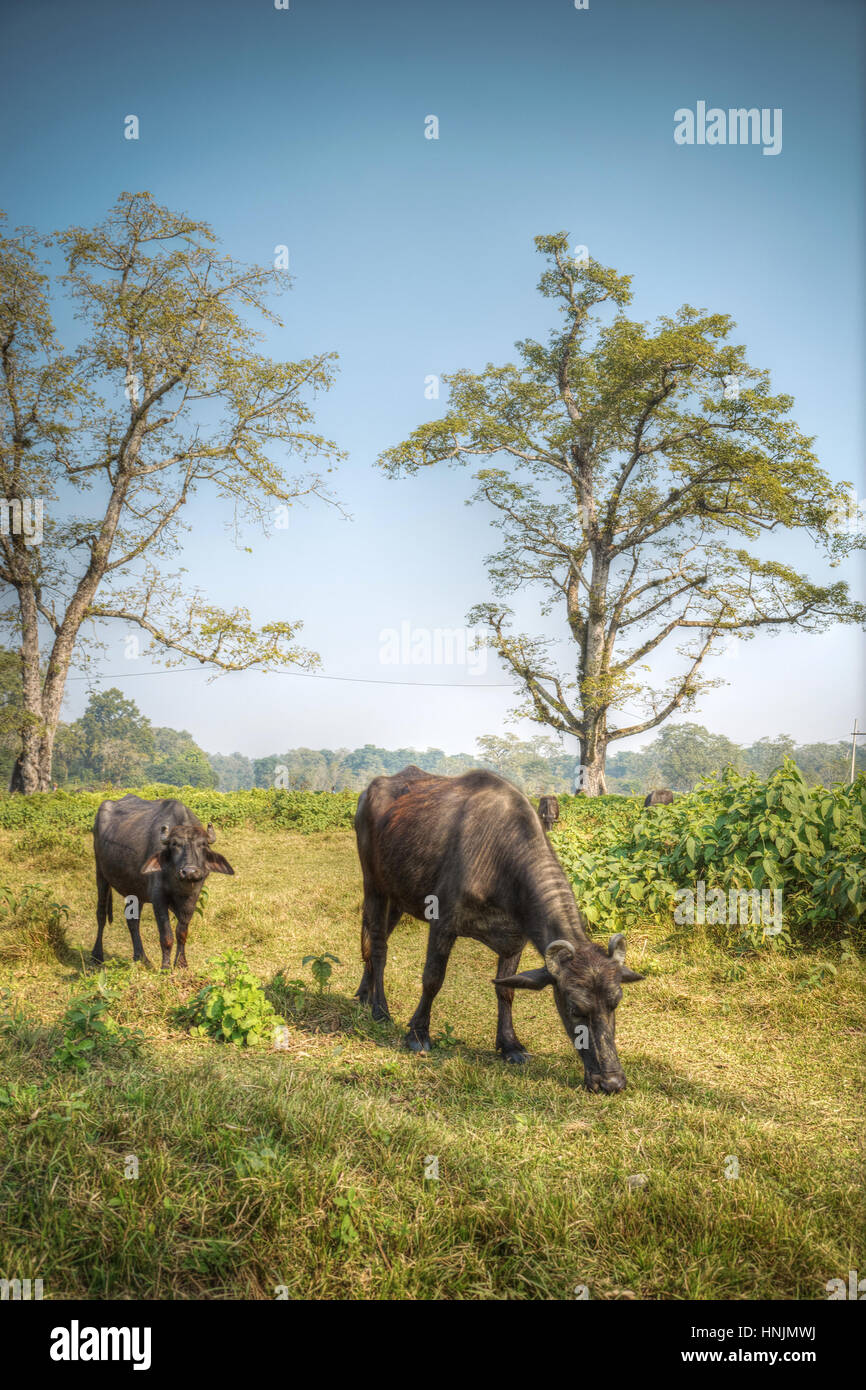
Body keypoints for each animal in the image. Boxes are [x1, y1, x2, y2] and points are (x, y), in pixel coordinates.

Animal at [92, 795, 234, 968]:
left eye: (203, 844)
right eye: (175, 844)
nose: (190, 871)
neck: (178, 883)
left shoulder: (192, 898)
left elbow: (181, 932)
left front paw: (181, 963)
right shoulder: (158, 898)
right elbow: (166, 936)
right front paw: (165, 966)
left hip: (134, 889)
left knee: (132, 921)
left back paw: (141, 957)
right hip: (101, 874)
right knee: (101, 914)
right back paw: (97, 955)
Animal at [354, 766, 643, 1093]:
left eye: (614, 1004)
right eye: (574, 1009)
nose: (611, 1081)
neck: (500, 859)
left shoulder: (515, 940)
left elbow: (506, 990)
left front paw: (510, 1044)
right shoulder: (442, 923)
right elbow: (432, 979)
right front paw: (418, 1033)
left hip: (398, 897)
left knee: (371, 941)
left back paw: (363, 993)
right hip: (374, 886)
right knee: (378, 946)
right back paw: (380, 1009)